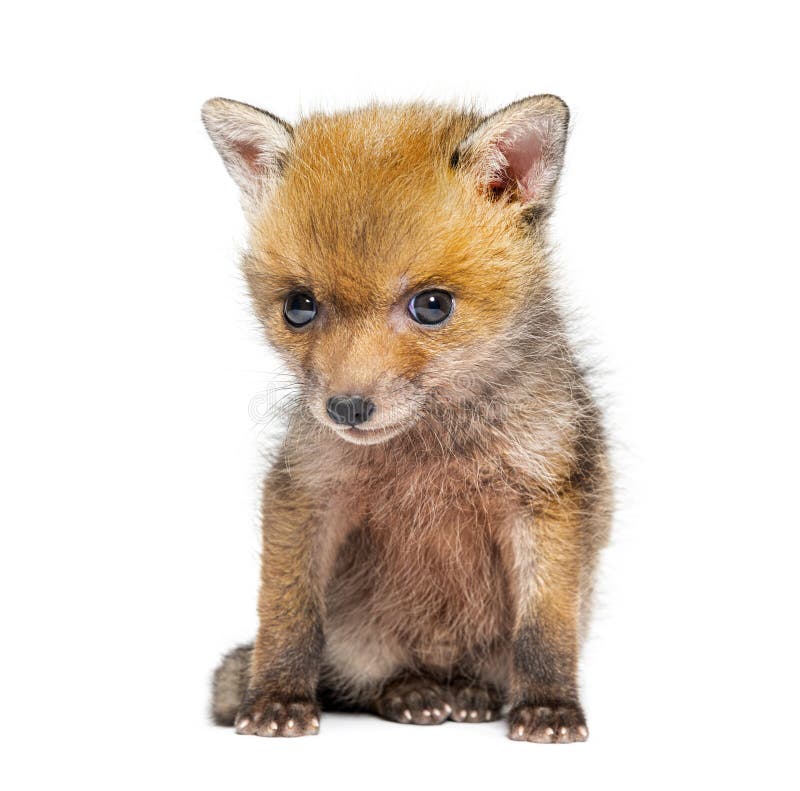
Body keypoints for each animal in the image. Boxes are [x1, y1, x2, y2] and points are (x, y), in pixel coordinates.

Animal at [201, 94, 612, 743]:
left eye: (432, 305)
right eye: (299, 307)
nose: (345, 409)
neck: (430, 454)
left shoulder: (545, 497)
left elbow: (545, 629)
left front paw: (550, 707)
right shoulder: (305, 490)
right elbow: (287, 614)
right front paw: (276, 698)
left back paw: (469, 695)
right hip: (362, 642)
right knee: (369, 682)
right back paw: (411, 693)